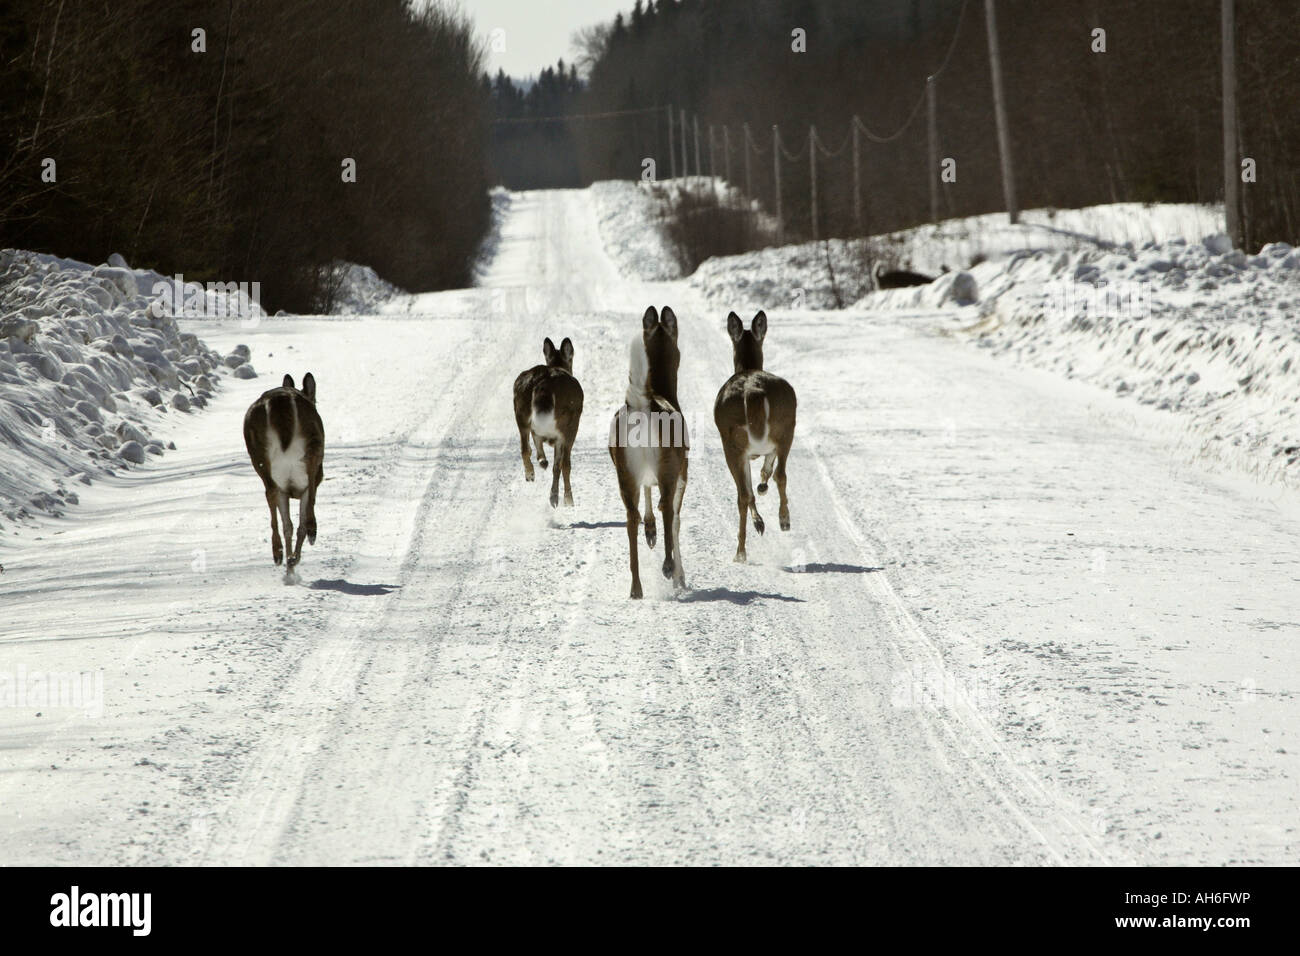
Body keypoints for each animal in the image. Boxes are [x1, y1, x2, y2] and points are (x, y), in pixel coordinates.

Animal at [243, 373, 324, 574]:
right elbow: (300, 522)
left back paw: (278, 554)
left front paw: (290, 561)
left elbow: (289, 525)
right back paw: (312, 530)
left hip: (257, 455)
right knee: (312, 478)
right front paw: (294, 559)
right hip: (314, 442)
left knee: (270, 493)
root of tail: (279, 400)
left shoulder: (285, 490)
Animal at [513, 337, 584, 507]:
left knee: (525, 447)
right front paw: (567, 500)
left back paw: (532, 472)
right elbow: (563, 465)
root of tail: (543, 381)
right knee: (561, 464)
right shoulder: (568, 433)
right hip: (567, 425)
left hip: (520, 410)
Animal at [609, 306, 689, 598]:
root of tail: (643, 407)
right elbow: (675, 520)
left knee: (631, 519)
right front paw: (680, 578)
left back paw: (636, 588)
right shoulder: (682, 473)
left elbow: (646, 492)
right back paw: (667, 567)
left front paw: (651, 532)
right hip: (668, 464)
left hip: (623, 468)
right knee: (667, 508)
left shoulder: (641, 474)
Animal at [713, 311, 796, 563]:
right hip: (786, 424)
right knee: (777, 475)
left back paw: (742, 550)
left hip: (731, 442)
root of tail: (753, 391)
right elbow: (763, 473)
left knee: (745, 492)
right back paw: (780, 522)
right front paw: (762, 492)